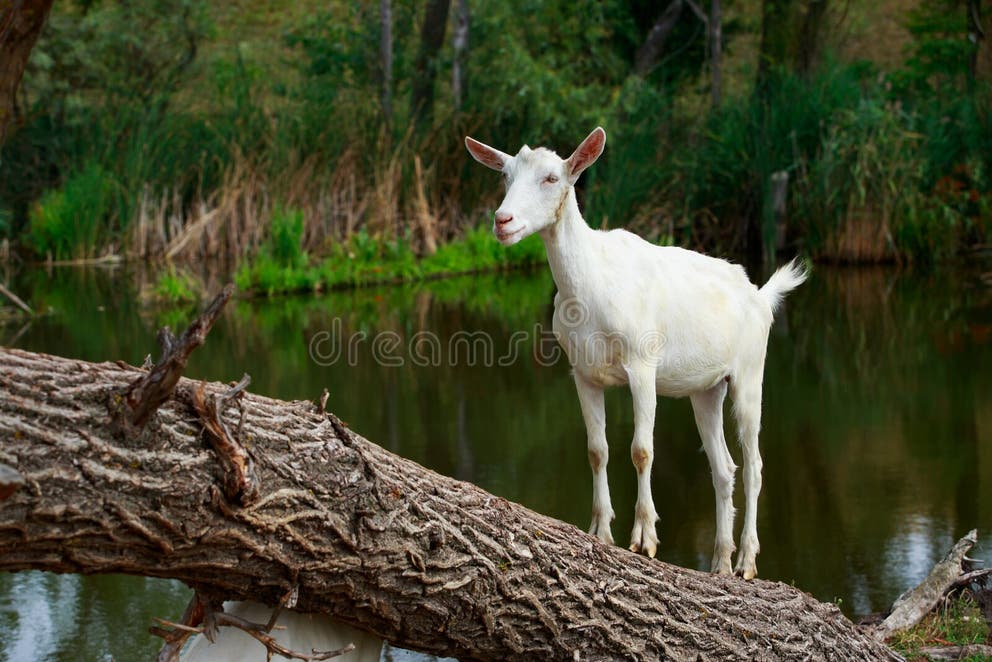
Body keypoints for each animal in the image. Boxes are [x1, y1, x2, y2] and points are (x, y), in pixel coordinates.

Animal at [465, 127, 807, 578]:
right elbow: (597, 450)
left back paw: (746, 562)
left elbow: (641, 450)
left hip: (751, 372)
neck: (592, 287)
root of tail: (761, 296)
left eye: (552, 178)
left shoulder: (642, 365)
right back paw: (719, 562)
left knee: (754, 466)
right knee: (723, 468)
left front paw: (644, 538)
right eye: (505, 175)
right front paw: (599, 529)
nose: (502, 221)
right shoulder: (583, 372)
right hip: (707, 389)